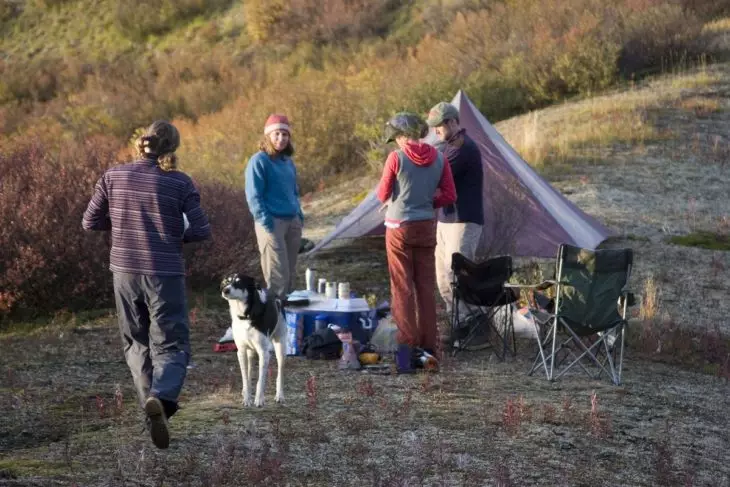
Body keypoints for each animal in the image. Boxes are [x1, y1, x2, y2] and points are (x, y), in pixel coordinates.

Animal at [219, 274, 284, 408]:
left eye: (239, 283)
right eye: (227, 282)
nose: (225, 290)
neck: (246, 316)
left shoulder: (264, 353)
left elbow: (261, 380)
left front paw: (259, 400)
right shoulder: (241, 351)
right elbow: (245, 378)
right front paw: (247, 399)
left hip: (280, 347)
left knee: (280, 372)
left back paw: (279, 395)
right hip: (250, 353)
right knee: (249, 373)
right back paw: (245, 392)